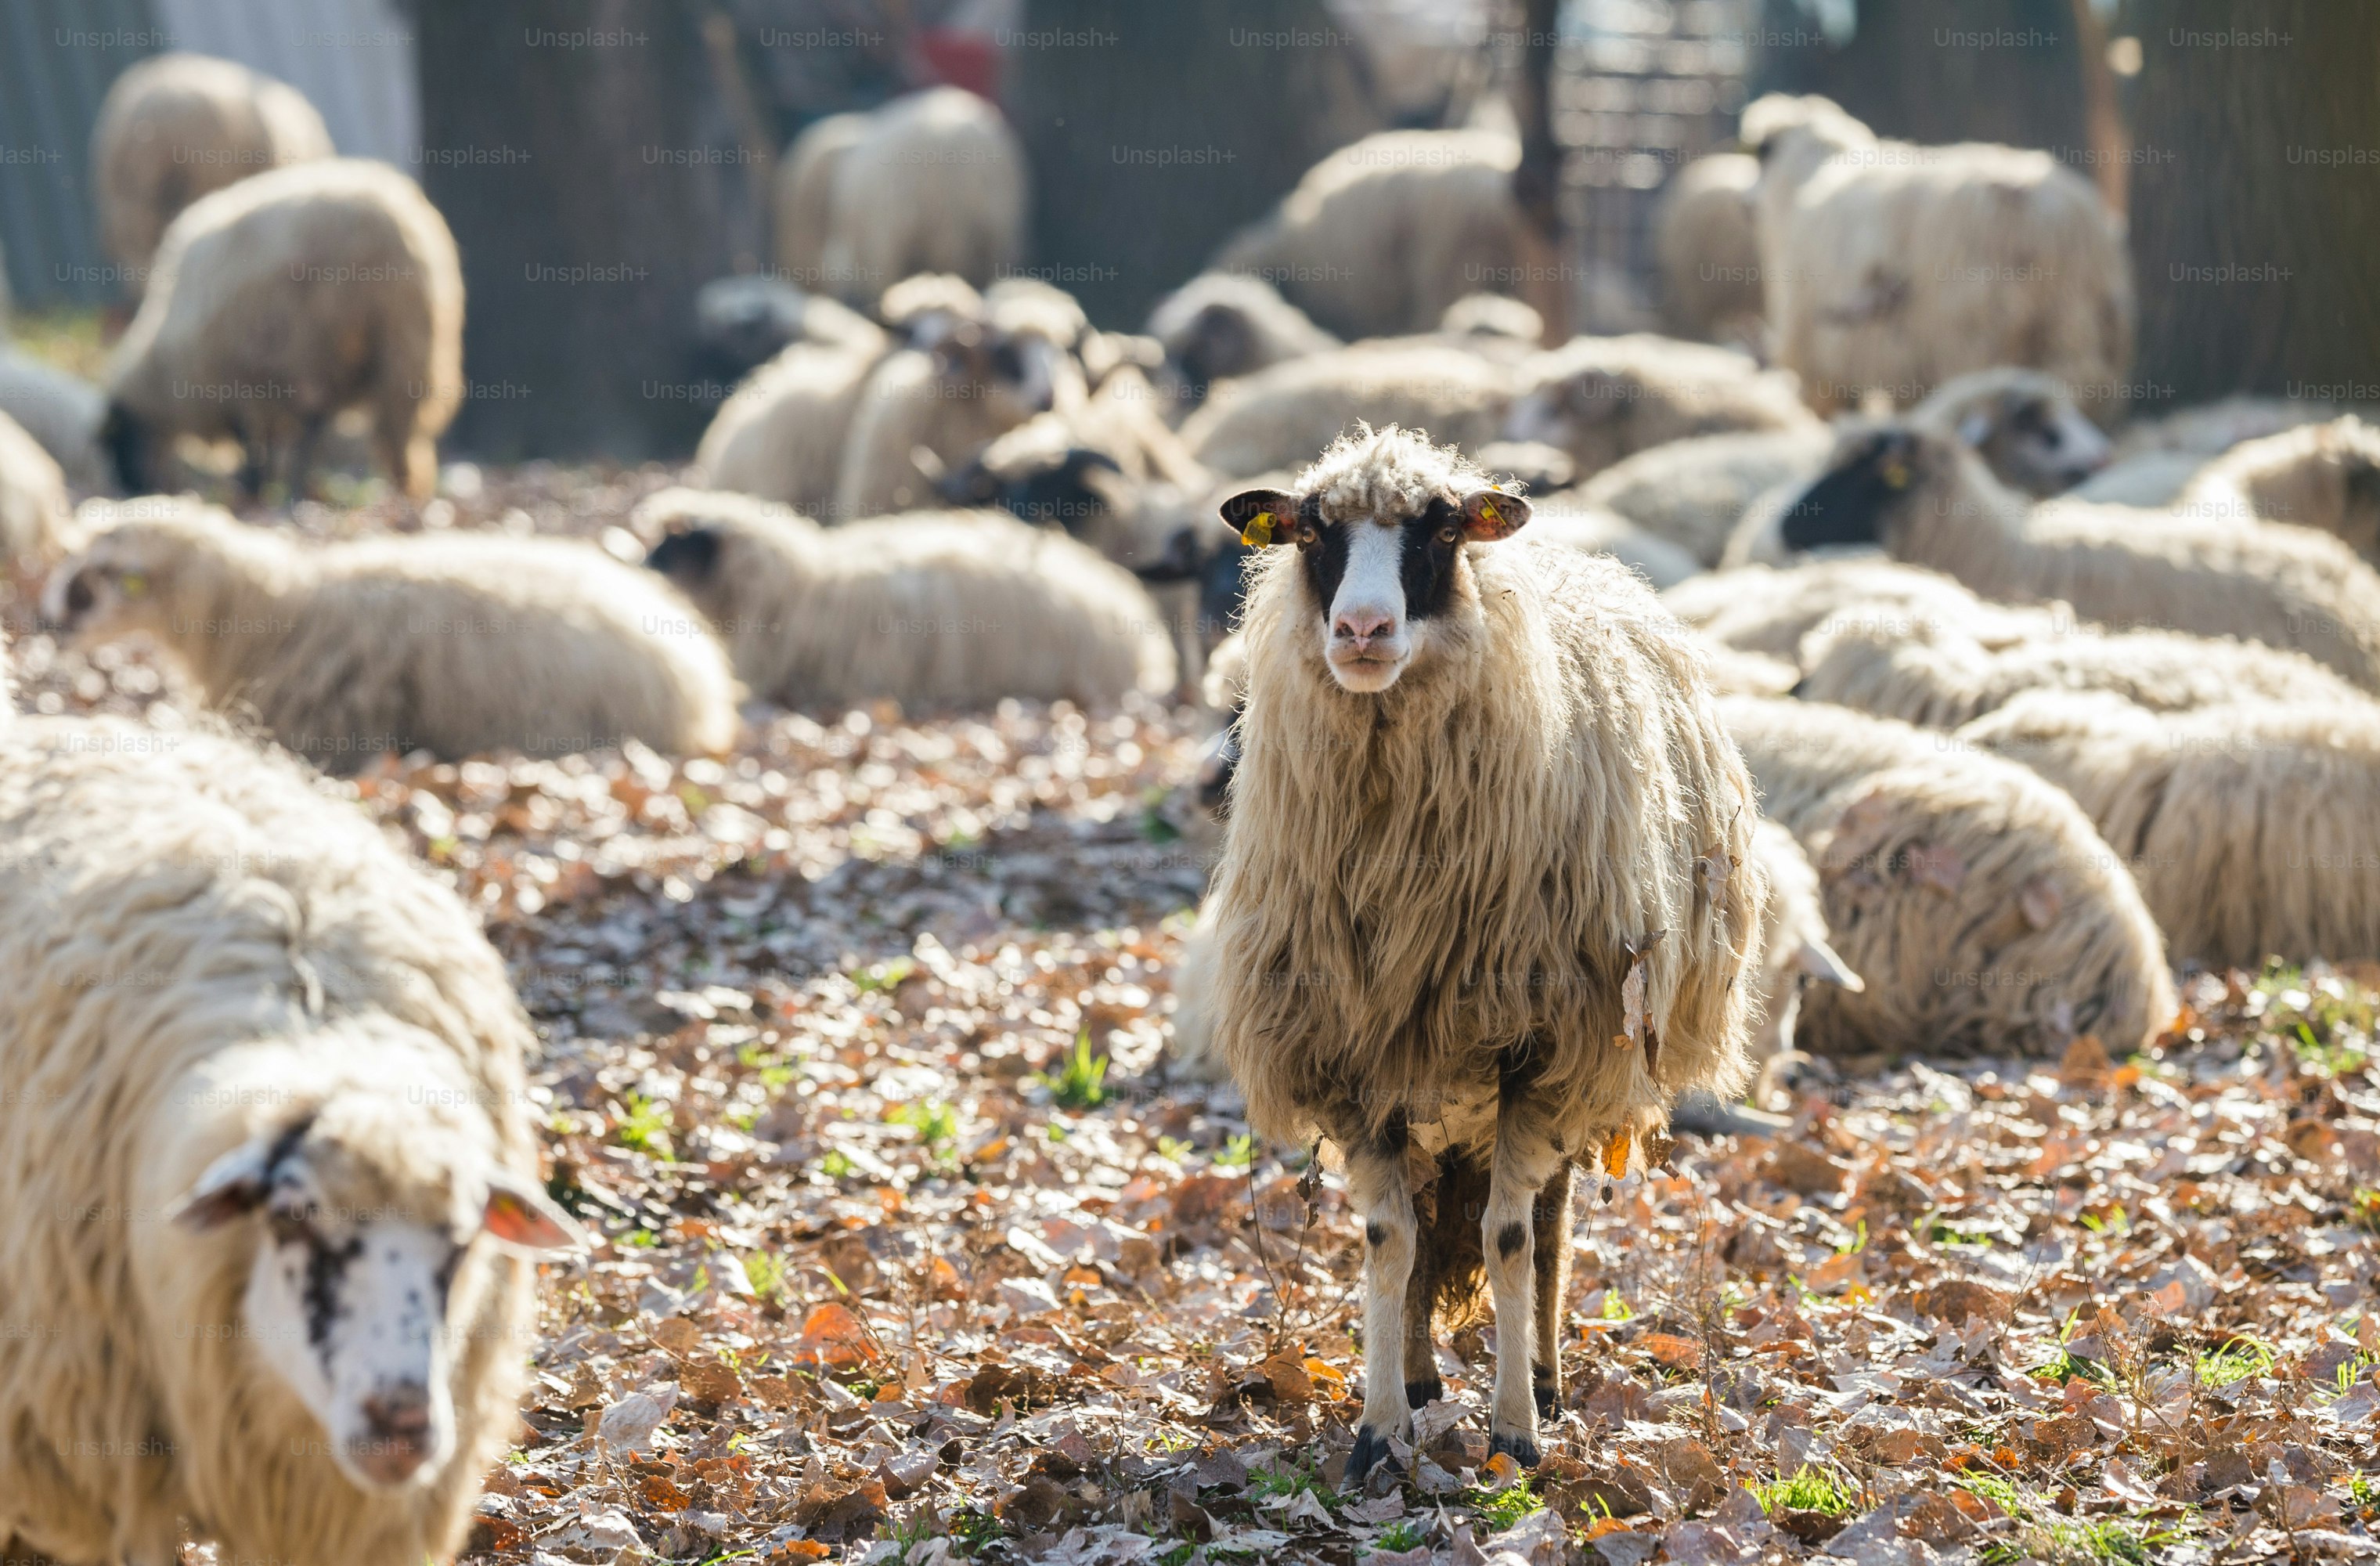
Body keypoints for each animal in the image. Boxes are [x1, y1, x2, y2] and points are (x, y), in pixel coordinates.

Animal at [103, 158, 463, 502]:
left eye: (120, 440)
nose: (133, 489)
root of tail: (394, 224)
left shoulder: (240, 379)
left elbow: (253, 441)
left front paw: (254, 484)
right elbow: (279, 436)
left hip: (324, 339)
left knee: (353, 425)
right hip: (404, 342)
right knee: (394, 422)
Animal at [1202, 426, 1762, 1476]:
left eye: (1441, 528)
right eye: (1312, 533)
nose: (1362, 630)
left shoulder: (1539, 1048)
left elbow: (1507, 1239)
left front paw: (1514, 1428)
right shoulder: (1357, 1044)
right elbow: (1387, 1237)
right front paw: (1378, 1429)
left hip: (1582, 1054)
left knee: (1546, 1226)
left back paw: (1542, 1376)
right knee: (1426, 1221)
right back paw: (1424, 1377)